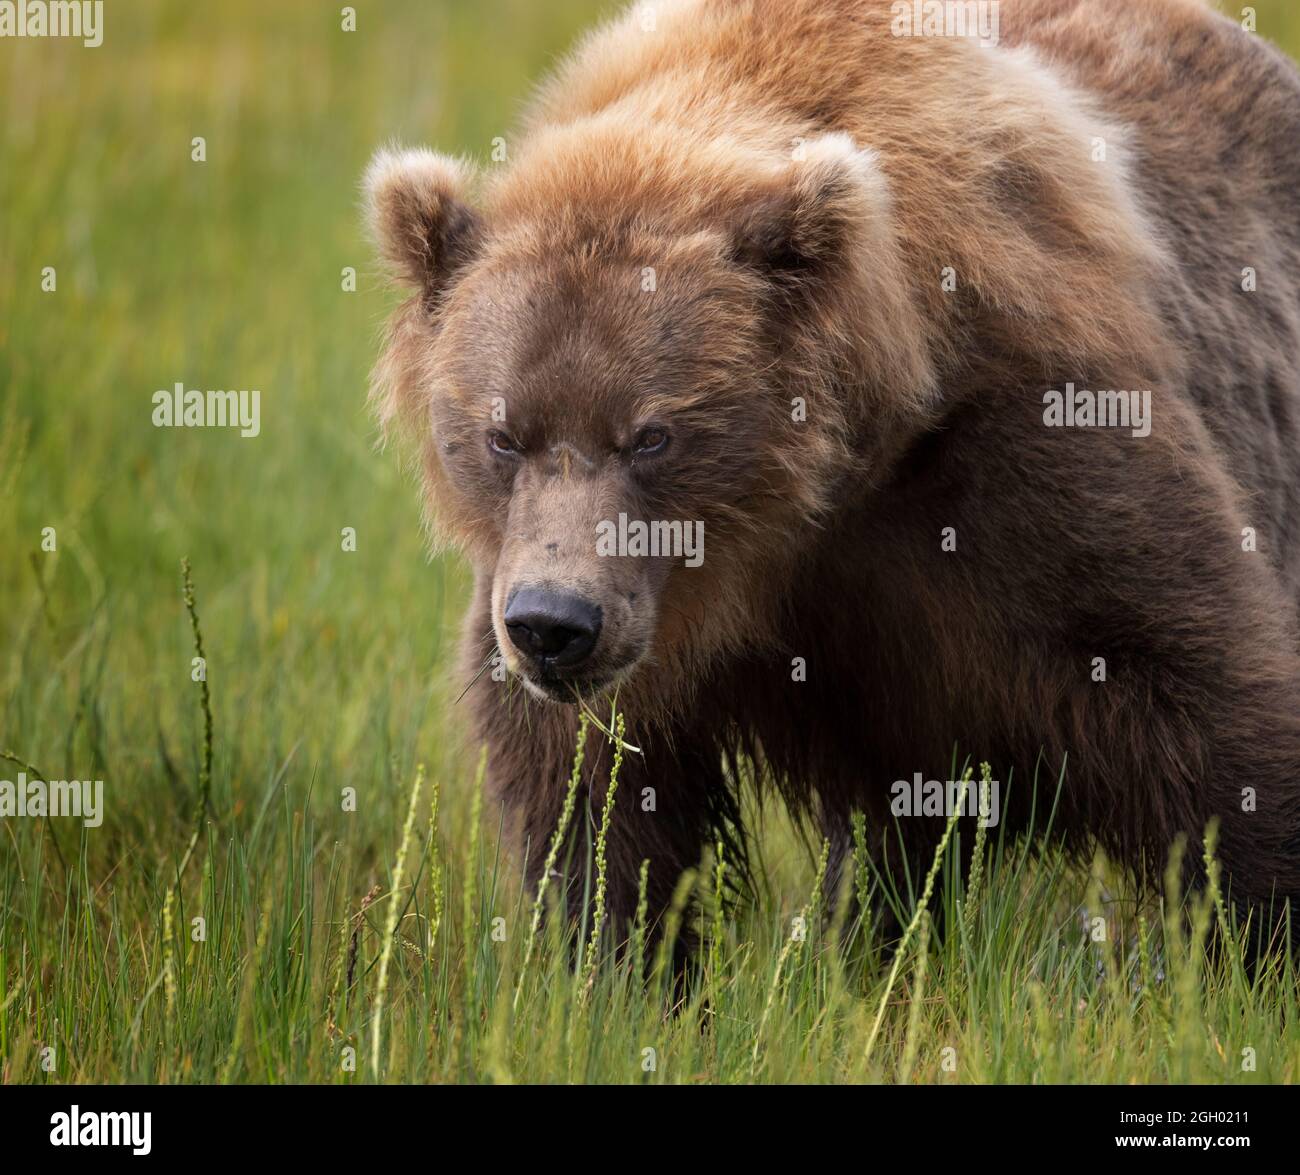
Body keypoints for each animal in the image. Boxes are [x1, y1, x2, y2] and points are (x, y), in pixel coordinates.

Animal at [365, 0, 1300, 956]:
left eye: (653, 435)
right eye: (501, 435)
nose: (554, 625)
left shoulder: (1036, 449)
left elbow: (1203, 694)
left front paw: (1258, 941)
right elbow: (594, 799)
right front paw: (623, 958)